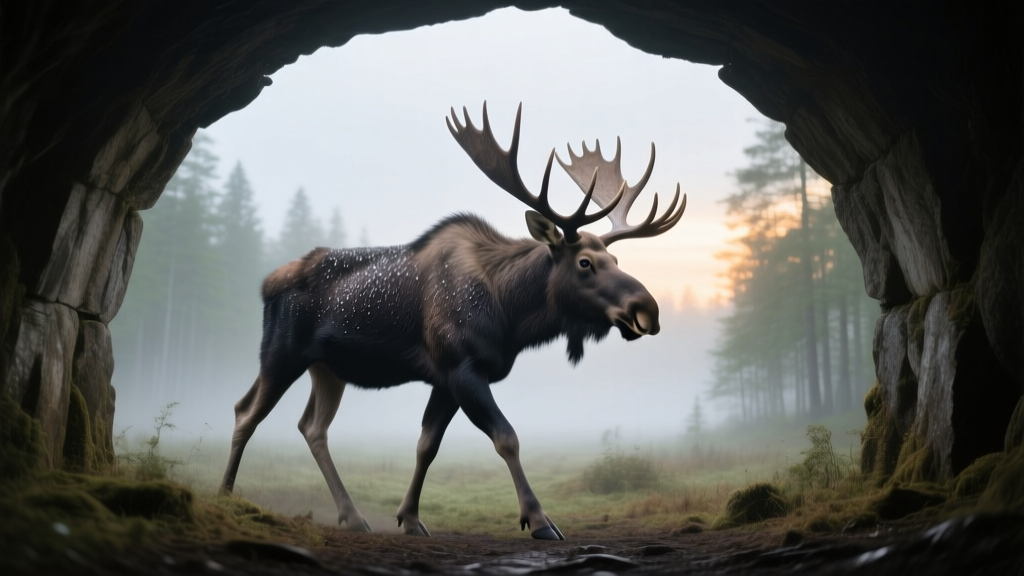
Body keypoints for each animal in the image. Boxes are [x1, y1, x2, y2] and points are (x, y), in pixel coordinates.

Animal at [219, 102, 686, 540]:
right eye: (585, 262)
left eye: (617, 260)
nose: (647, 309)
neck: (510, 314)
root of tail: (266, 284)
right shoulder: (461, 368)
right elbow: (506, 437)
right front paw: (539, 520)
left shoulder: (444, 379)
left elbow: (427, 445)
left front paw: (410, 518)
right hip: (281, 353)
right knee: (246, 412)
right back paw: (224, 494)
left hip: (328, 368)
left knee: (312, 427)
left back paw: (352, 516)